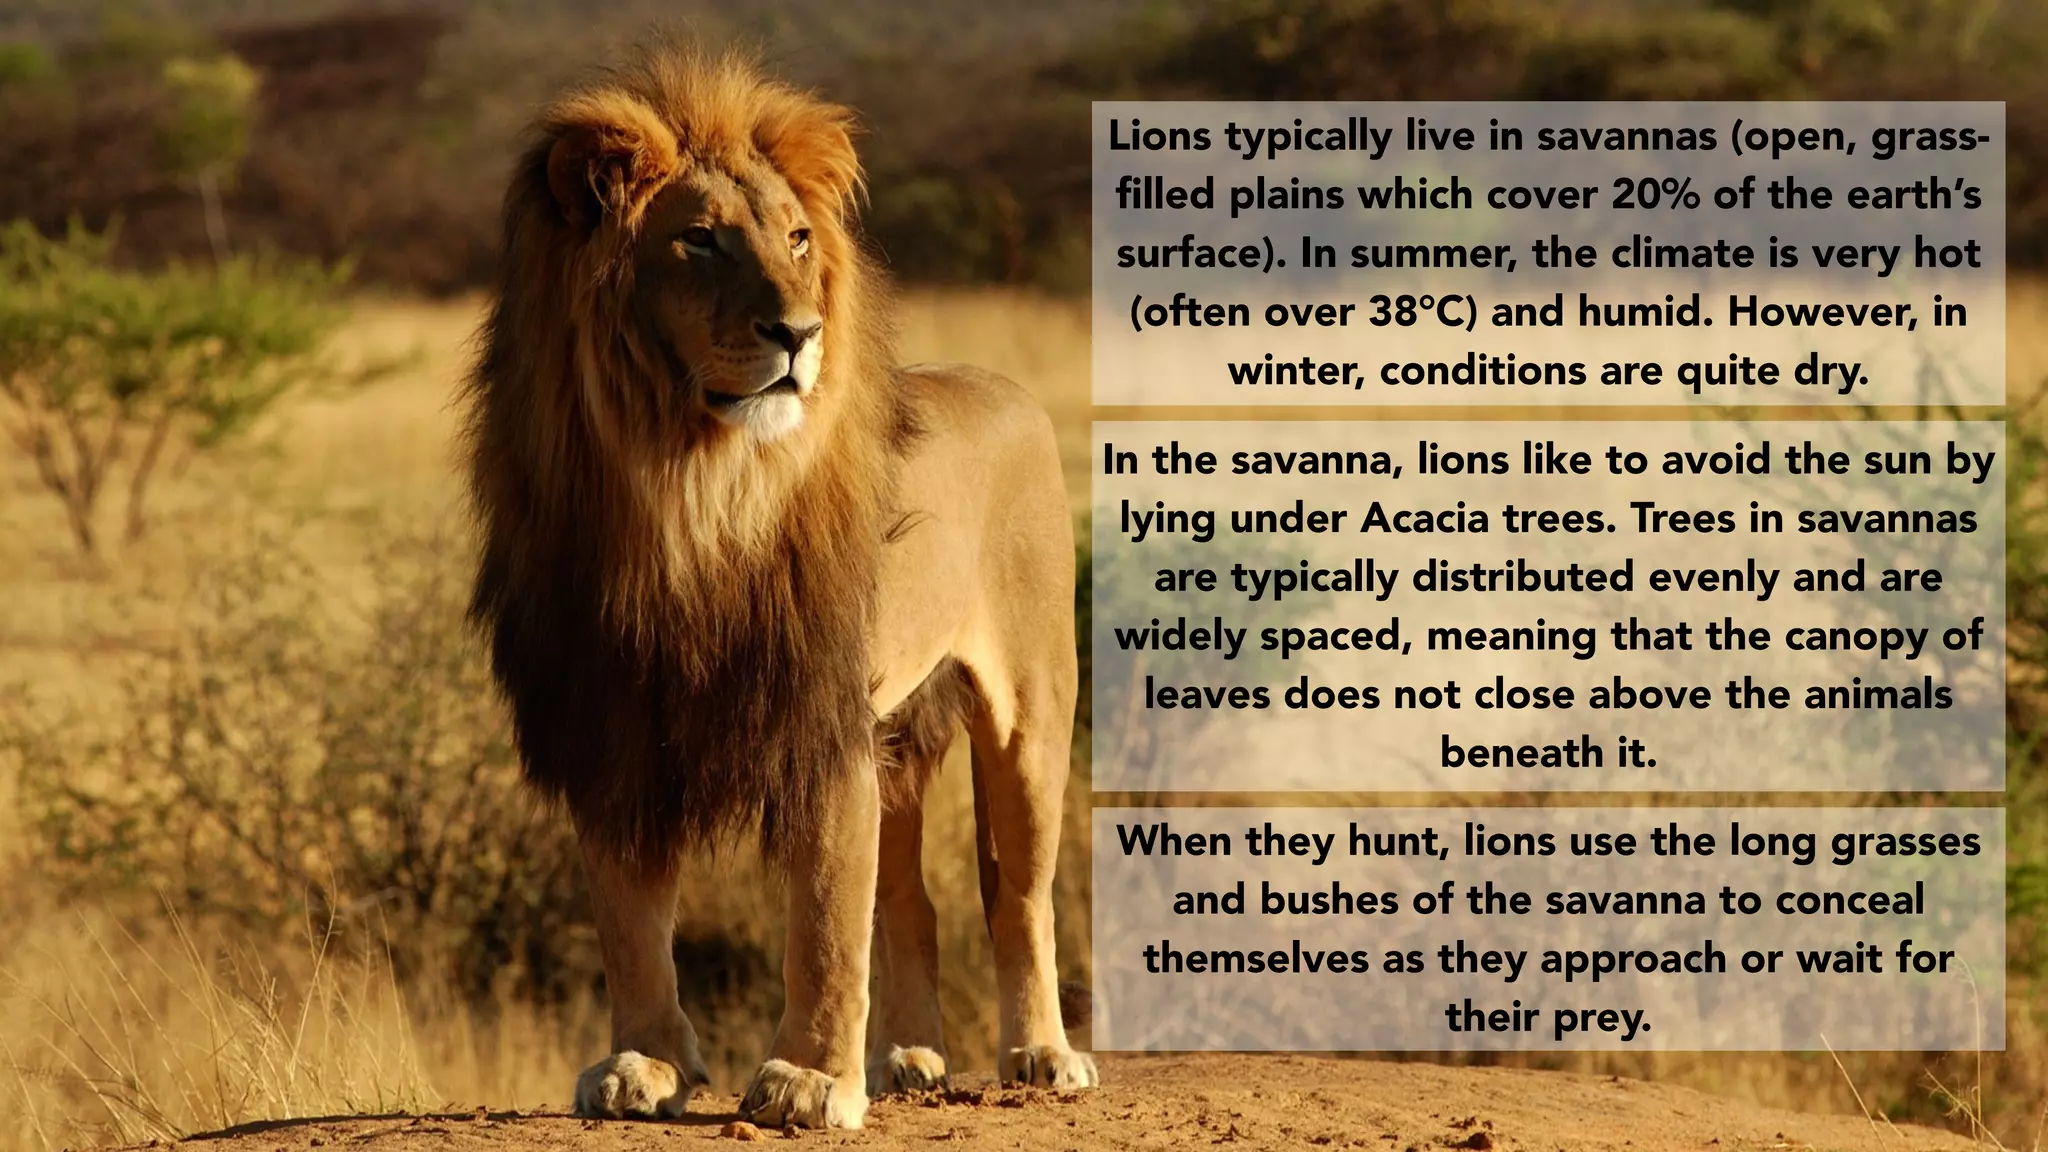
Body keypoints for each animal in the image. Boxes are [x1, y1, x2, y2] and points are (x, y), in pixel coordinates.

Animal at [461, 47, 1096, 1130]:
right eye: (700, 241)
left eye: (798, 239)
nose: (798, 332)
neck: (688, 490)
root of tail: (1003, 386)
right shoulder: (611, 722)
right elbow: (630, 919)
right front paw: (645, 1065)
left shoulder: (819, 720)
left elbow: (825, 919)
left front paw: (808, 1080)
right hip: (898, 737)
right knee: (913, 901)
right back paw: (909, 1059)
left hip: (1030, 712)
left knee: (1017, 896)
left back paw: (1041, 1055)